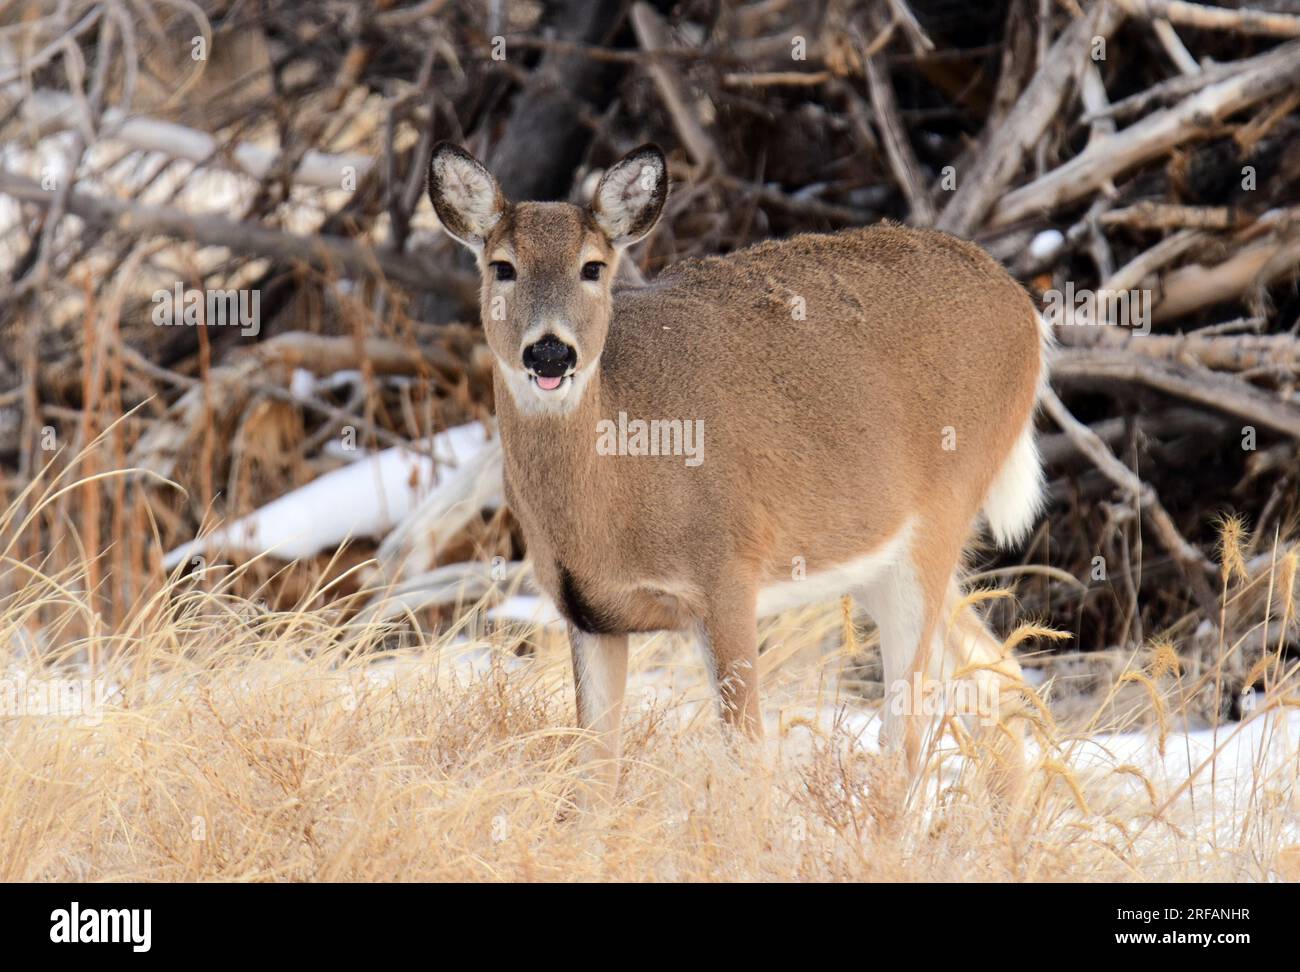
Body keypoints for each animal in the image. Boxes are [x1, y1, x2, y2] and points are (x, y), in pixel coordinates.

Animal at [428, 141, 1048, 806]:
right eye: (503, 267)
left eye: (592, 267)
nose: (549, 351)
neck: (613, 497)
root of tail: (1027, 311)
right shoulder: (587, 613)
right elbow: (594, 770)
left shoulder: (727, 574)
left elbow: (746, 753)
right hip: (878, 559)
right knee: (995, 672)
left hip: (940, 517)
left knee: (906, 733)